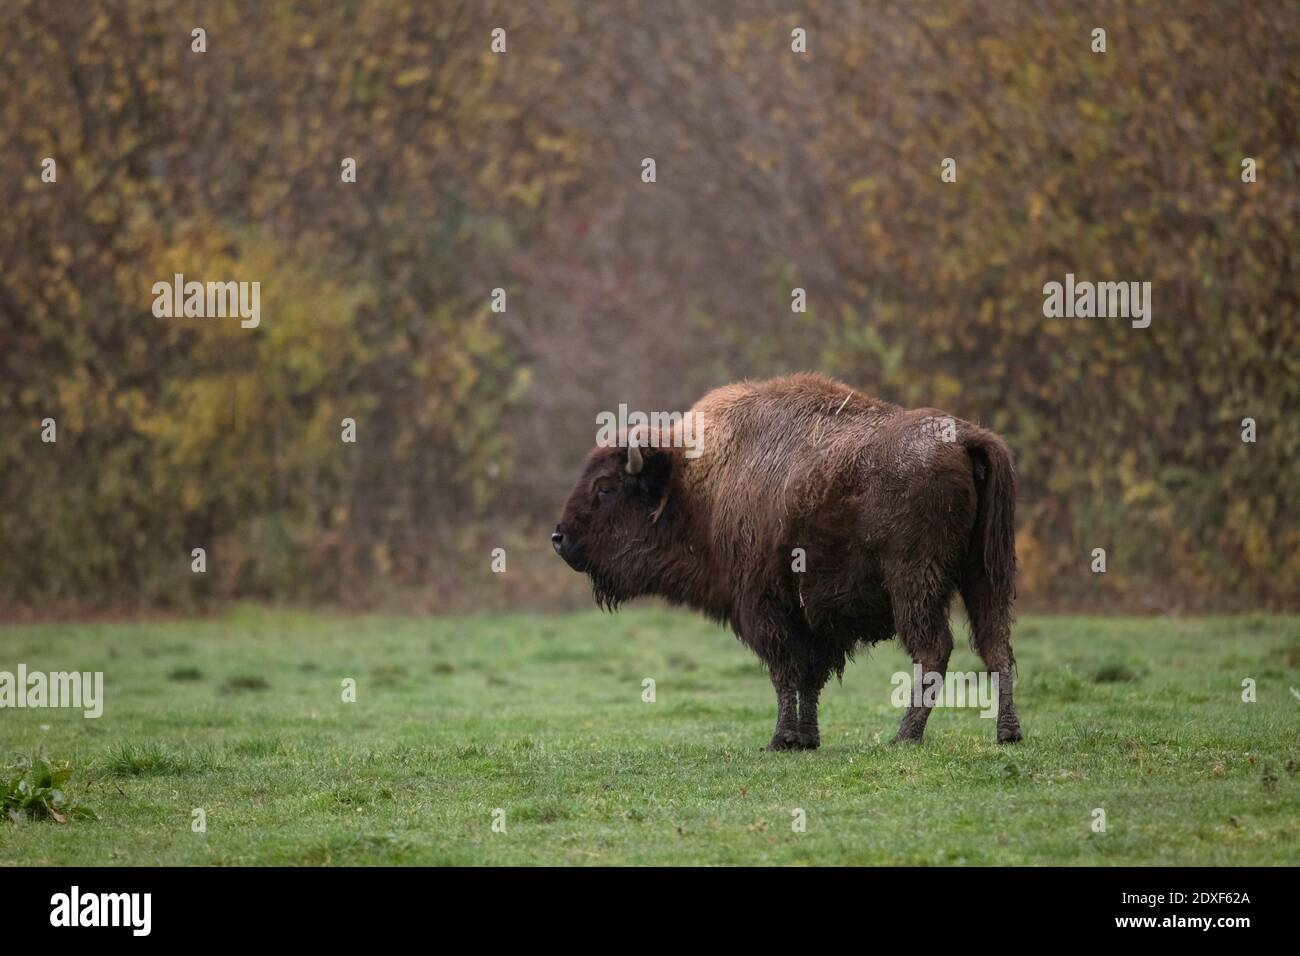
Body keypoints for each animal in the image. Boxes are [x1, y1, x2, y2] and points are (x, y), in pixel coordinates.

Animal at [553, 373, 1021, 749]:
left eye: (606, 488)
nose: (560, 539)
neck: (696, 485)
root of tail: (966, 438)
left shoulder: (764, 609)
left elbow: (785, 674)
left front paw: (782, 740)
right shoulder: (809, 620)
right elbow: (809, 678)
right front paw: (806, 739)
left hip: (913, 580)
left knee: (933, 649)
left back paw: (904, 737)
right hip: (986, 574)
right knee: (996, 646)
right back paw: (1007, 733)